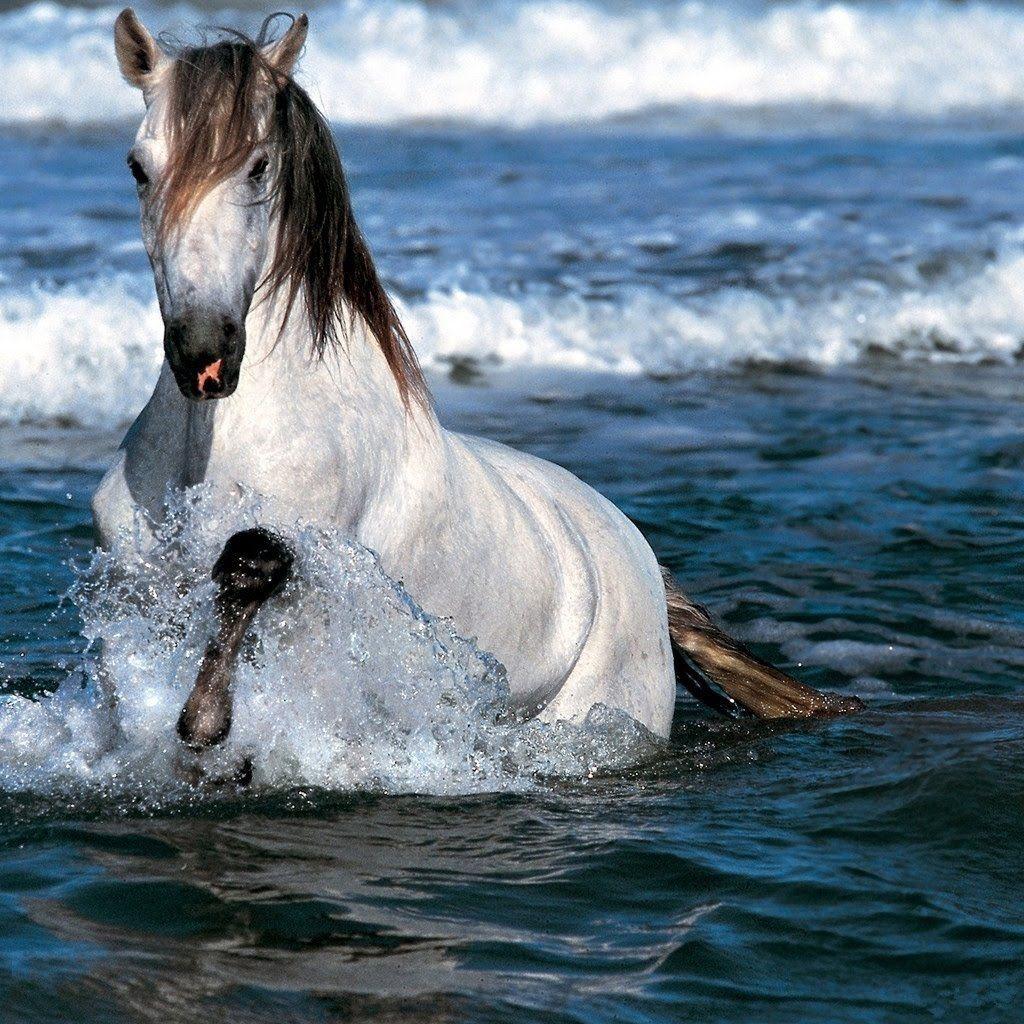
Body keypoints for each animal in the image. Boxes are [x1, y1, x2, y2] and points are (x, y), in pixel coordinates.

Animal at [94, 9, 863, 757]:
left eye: (257, 168)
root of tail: (640, 560)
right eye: (136, 167)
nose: (204, 353)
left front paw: (206, 723)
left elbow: (251, 565)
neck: (214, 445)